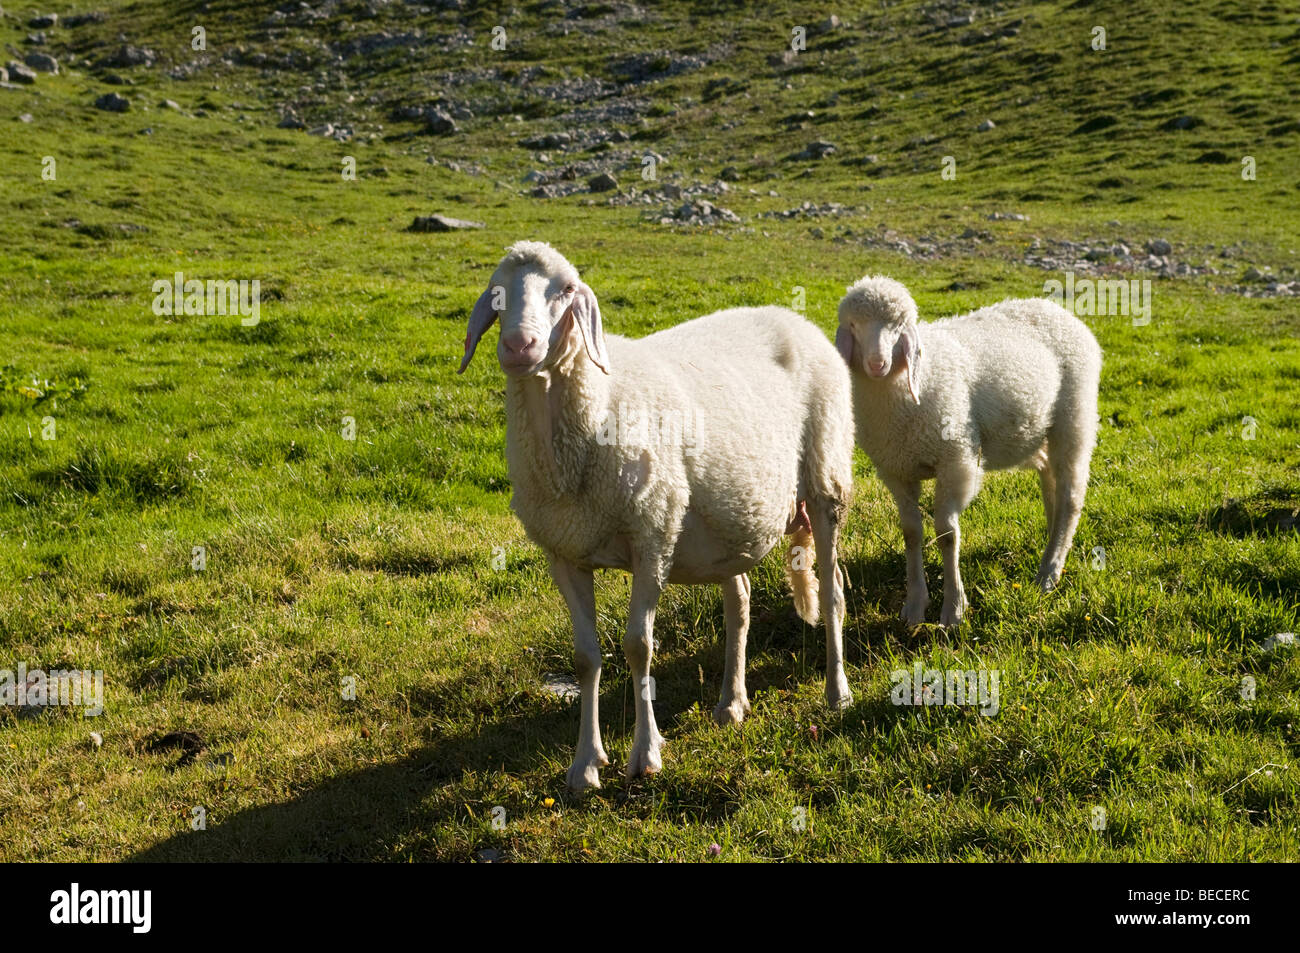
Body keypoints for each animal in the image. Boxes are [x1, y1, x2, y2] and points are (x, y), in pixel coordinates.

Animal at [458, 241, 855, 791]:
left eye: (565, 290)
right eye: (496, 292)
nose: (519, 345)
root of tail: (790, 316)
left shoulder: (653, 535)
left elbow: (638, 646)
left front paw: (645, 754)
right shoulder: (565, 552)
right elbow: (586, 657)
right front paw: (585, 765)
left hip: (825, 477)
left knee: (832, 588)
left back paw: (837, 692)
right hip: (727, 525)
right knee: (740, 600)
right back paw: (731, 703)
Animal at [835, 275, 1102, 627]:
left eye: (898, 326)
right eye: (854, 325)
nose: (877, 364)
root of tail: (1056, 309)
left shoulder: (956, 460)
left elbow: (947, 534)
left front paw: (953, 609)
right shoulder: (896, 470)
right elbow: (911, 532)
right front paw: (915, 605)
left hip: (1074, 419)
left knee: (1071, 497)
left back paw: (1049, 572)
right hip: (1044, 430)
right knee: (1051, 484)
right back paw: (1052, 547)